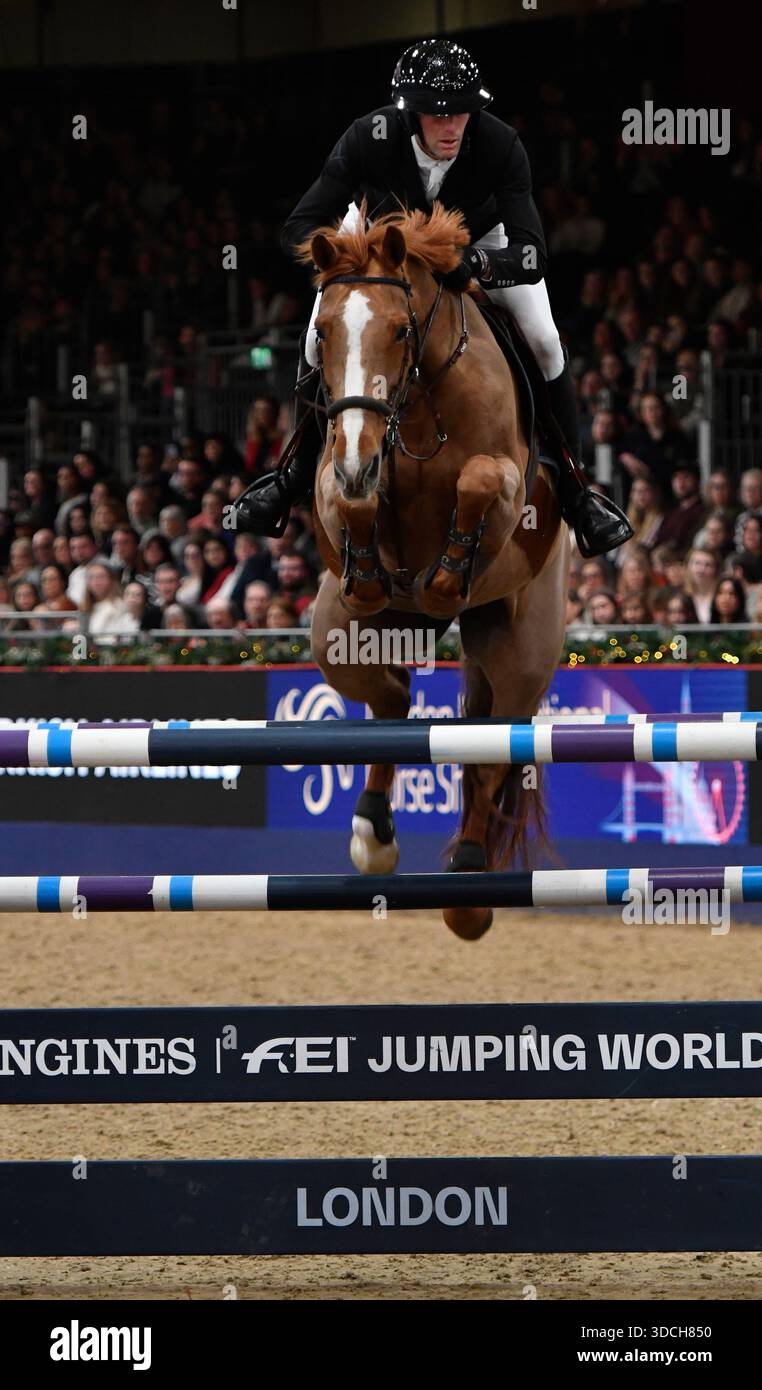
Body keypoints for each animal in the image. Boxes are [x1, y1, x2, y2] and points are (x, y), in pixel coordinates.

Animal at [300, 200, 570, 939]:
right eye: (324, 332)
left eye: (399, 330)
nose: (358, 455)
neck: (417, 408)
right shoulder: (333, 481)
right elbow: (347, 500)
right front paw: (368, 540)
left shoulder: (507, 493)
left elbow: (478, 481)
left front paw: (447, 576)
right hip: (337, 633)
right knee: (391, 701)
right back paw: (373, 834)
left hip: (521, 651)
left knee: (490, 748)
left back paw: (470, 885)